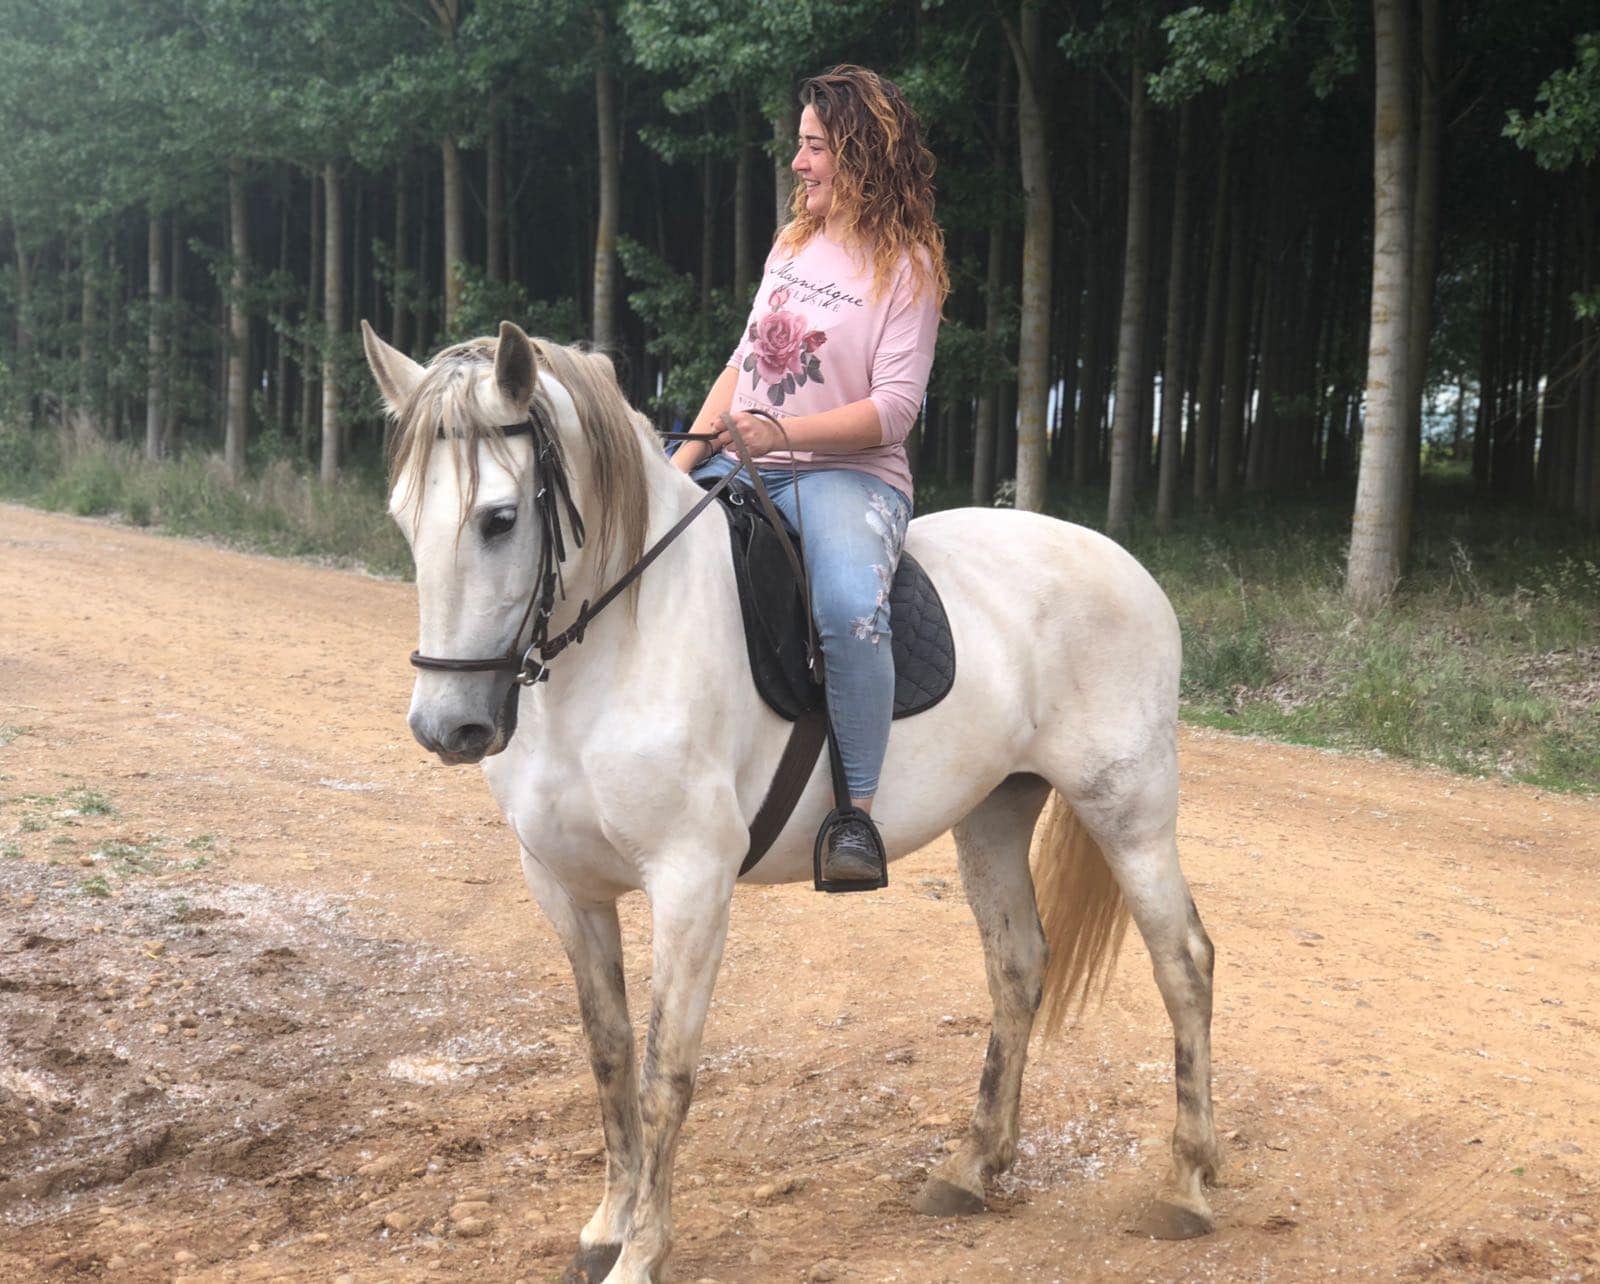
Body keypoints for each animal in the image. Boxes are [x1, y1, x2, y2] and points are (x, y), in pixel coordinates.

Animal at [361, 319, 1221, 1283]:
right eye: (403, 517)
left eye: (500, 519)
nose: (448, 726)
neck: (622, 648)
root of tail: (1125, 567)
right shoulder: (562, 884)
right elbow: (609, 1055)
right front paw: (607, 1226)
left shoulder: (691, 884)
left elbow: (665, 1073)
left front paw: (642, 1251)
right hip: (995, 811)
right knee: (1018, 965)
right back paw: (971, 1167)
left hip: (1128, 810)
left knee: (1184, 963)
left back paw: (1187, 1183)